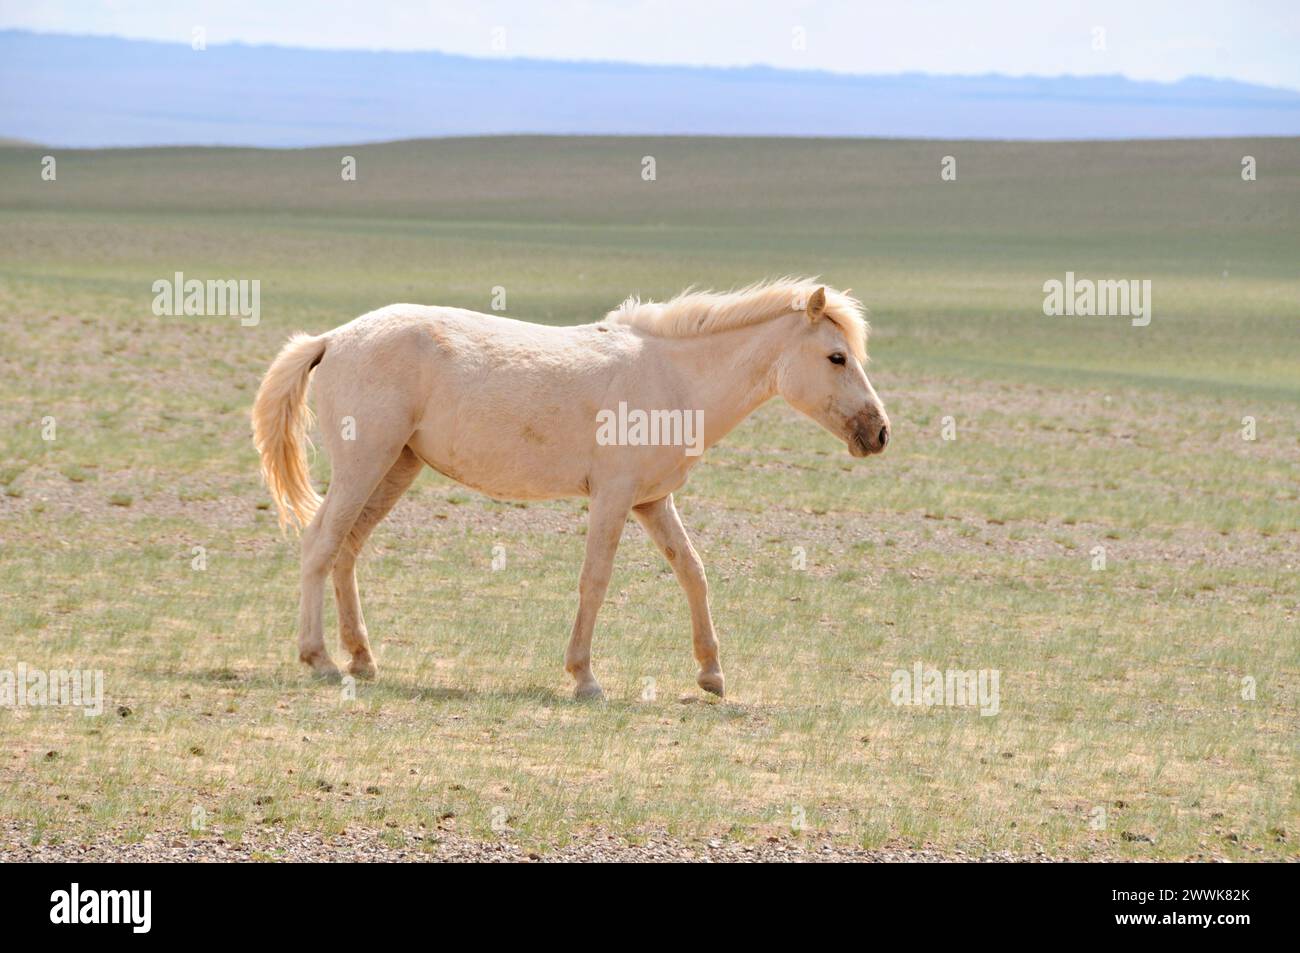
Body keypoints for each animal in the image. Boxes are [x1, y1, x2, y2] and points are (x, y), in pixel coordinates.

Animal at [251, 278, 890, 701]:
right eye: (836, 356)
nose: (880, 432)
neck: (674, 377)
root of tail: (333, 337)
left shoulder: (652, 501)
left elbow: (692, 571)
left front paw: (711, 674)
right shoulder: (613, 497)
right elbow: (595, 581)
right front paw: (585, 678)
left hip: (397, 466)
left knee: (348, 548)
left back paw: (362, 659)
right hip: (366, 462)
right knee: (320, 541)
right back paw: (320, 660)